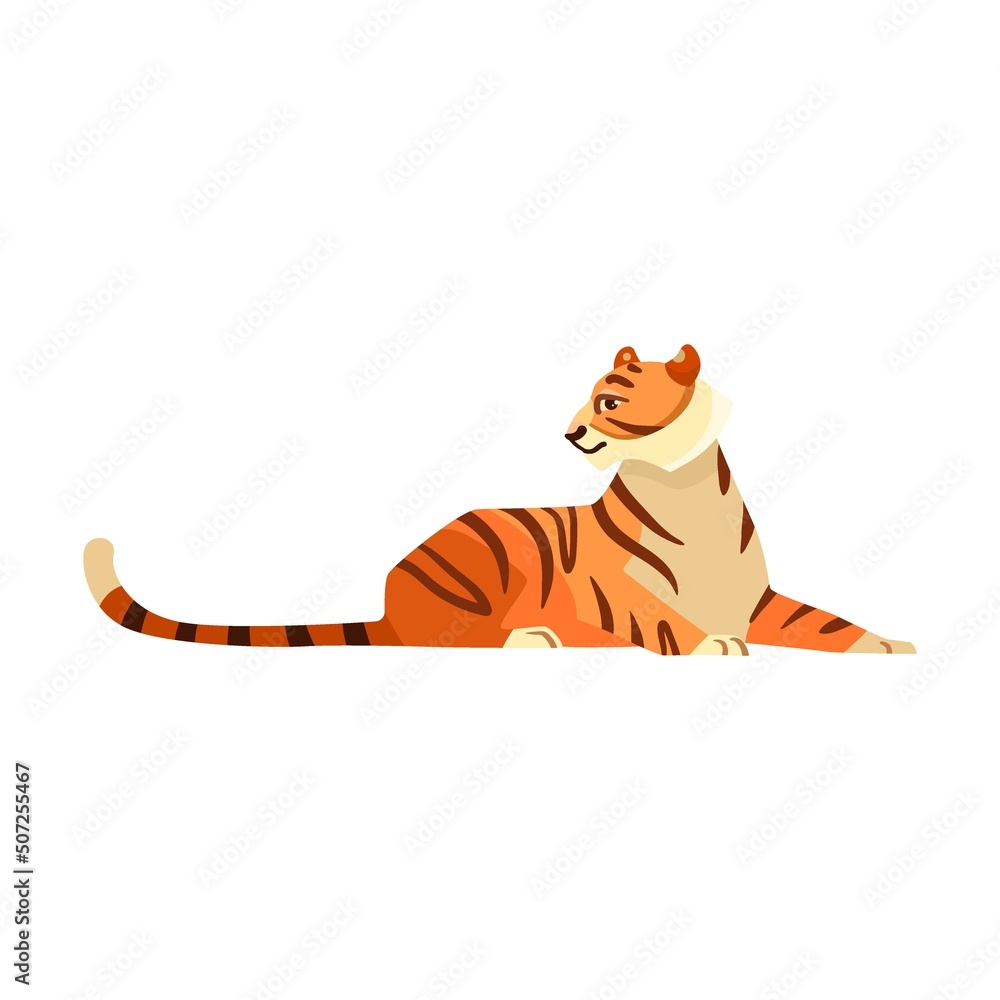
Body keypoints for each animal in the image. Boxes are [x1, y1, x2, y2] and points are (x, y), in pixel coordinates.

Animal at [84, 344, 914, 655]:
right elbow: (670, 624)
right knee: (456, 640)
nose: (573, 430)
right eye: (588, 396)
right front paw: (713, 645)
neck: (683, 483)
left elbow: (826, 622)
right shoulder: (632, 600)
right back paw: (533, 638)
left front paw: (889, 645)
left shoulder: (759, 599)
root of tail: (390, 600)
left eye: (611, 399)